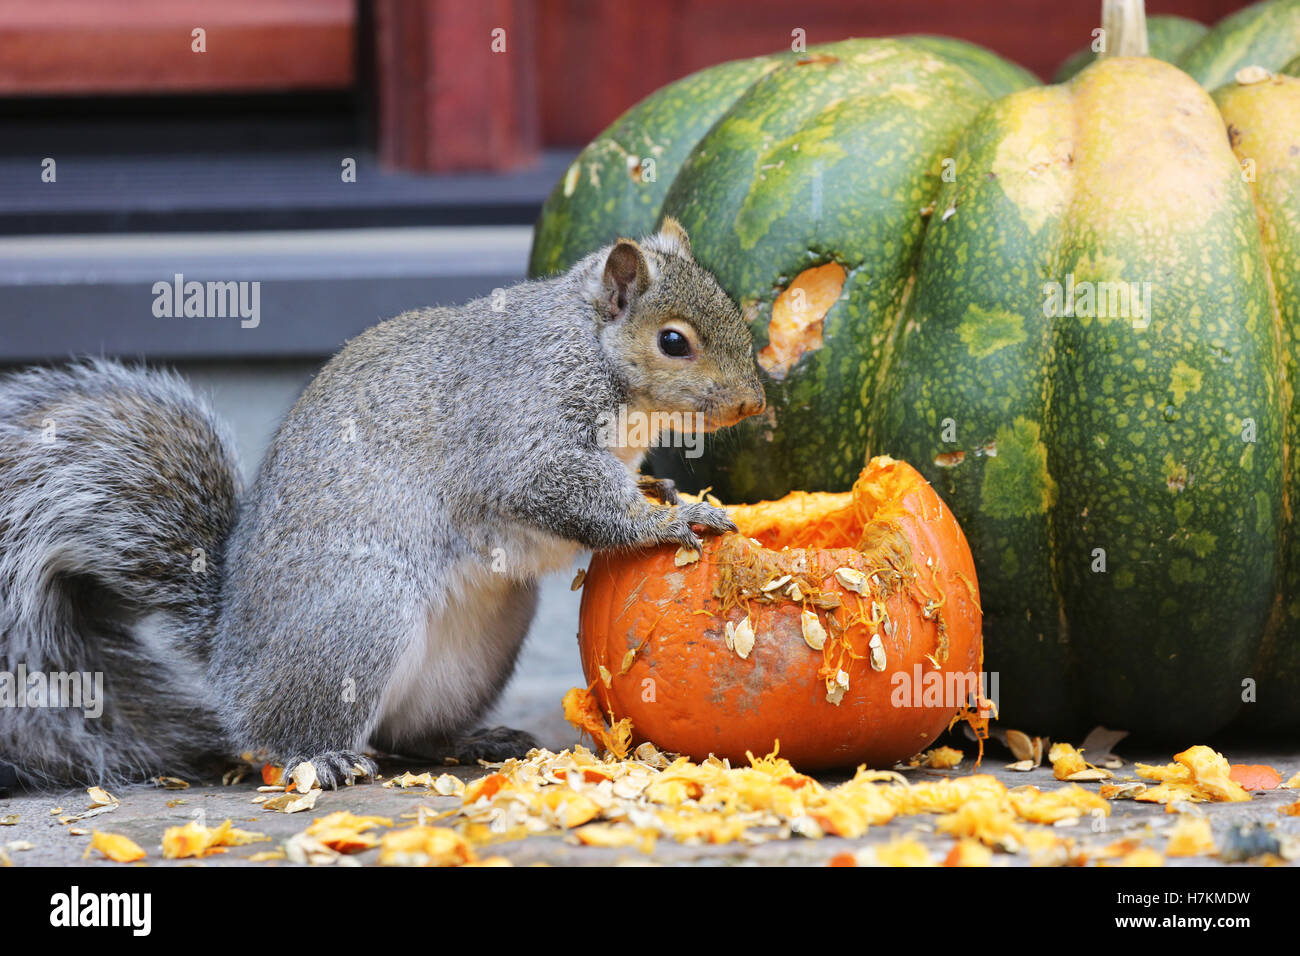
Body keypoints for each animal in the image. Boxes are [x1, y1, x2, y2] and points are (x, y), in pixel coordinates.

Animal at [0, 219, 766, 790]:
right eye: (673, 341)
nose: (754, 404)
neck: (590, 347)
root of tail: (229, 664)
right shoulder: (527, 424)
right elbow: (554, 489)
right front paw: (669, 518)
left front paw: (665, 490)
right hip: (361, 617)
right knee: (278, 737)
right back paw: (320, 757)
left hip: (479, 649)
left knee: (407, 732)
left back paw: (471, 740)